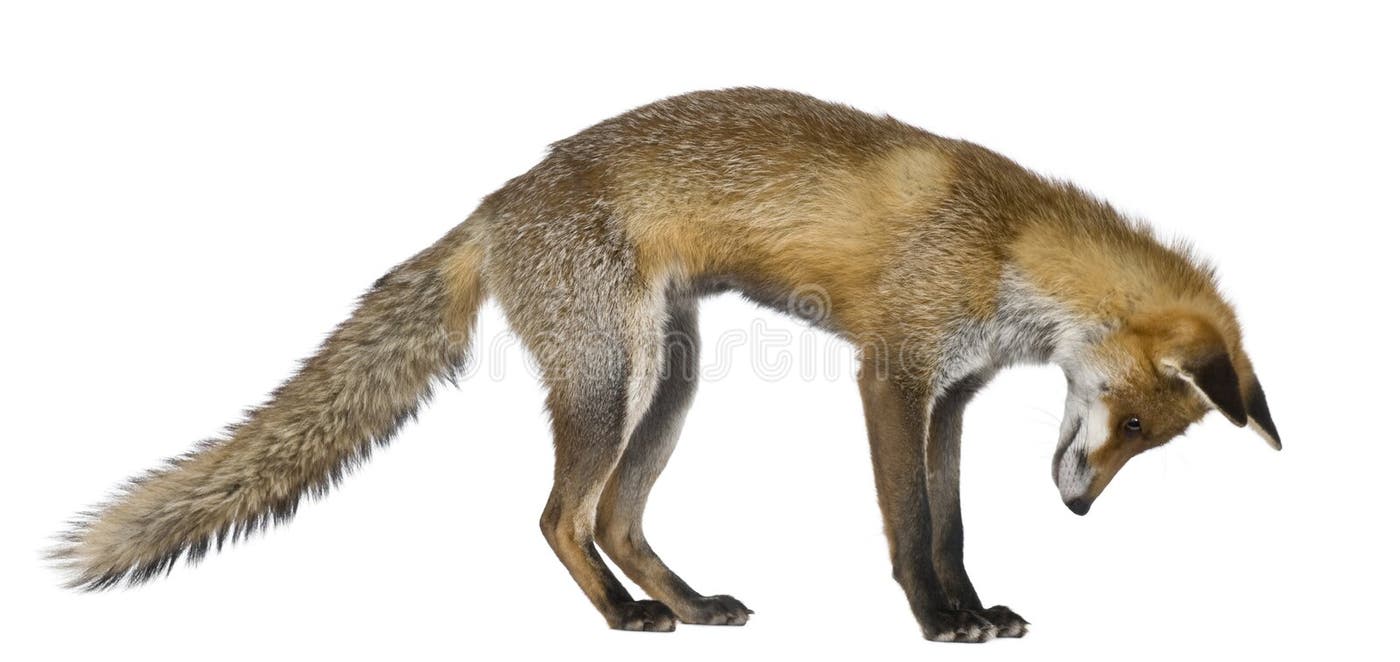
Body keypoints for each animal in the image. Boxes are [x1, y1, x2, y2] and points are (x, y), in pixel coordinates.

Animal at [53, 88, 1280, 642]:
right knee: (561, 515)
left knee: (617, 516)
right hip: (613, 376)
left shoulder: (954, 394)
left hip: (672, 376)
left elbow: (951, 524)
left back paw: (685, 604)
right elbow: (909, 527)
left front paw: (974, 610)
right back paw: (624, 618)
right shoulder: (892, 374)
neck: (1010, 243)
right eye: (1129, 424)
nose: (1078, 511)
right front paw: (938, 625)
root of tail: (493, 206)